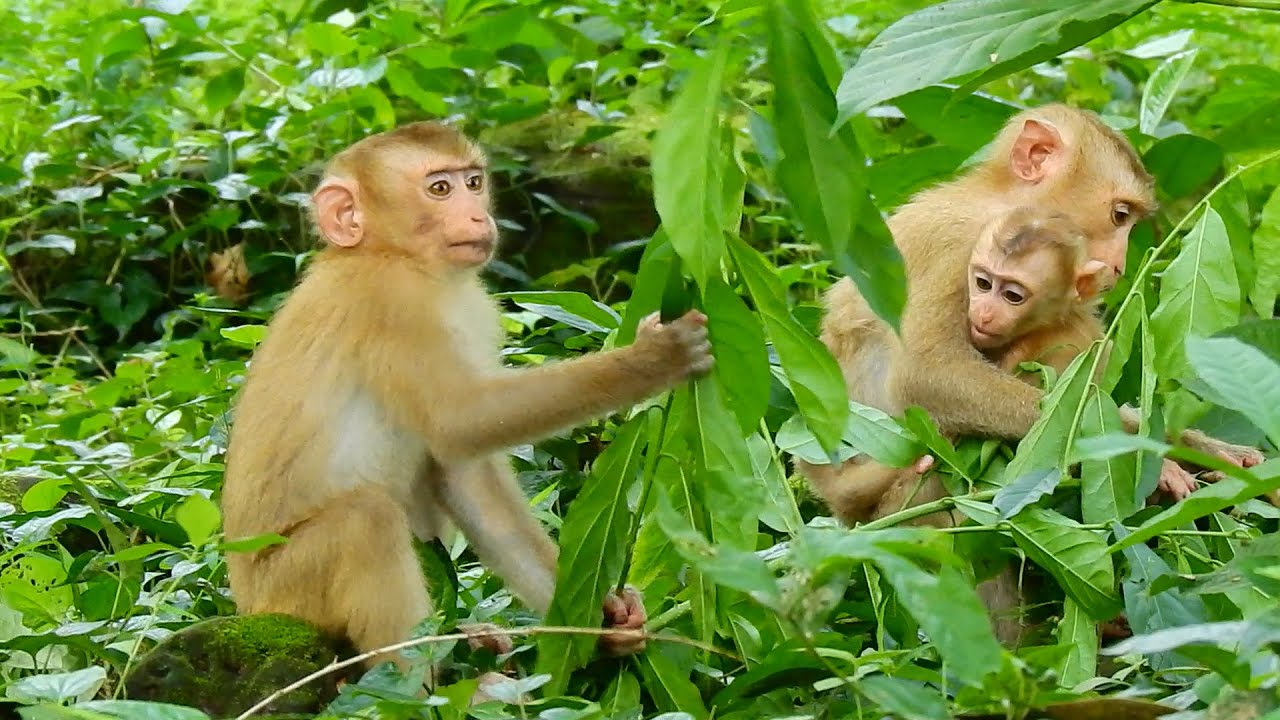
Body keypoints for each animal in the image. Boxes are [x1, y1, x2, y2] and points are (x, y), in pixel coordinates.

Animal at [218, 121, 715, 689]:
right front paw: (655, 359)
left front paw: (606, 619)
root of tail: (248, 611)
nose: (479, 215)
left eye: (473, 183)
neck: (388, 255)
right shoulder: (391, 301)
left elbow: (464, 473)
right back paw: (426, 691)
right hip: (290, 596)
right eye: (439, 189)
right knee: (367, 520)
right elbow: (458, 422)